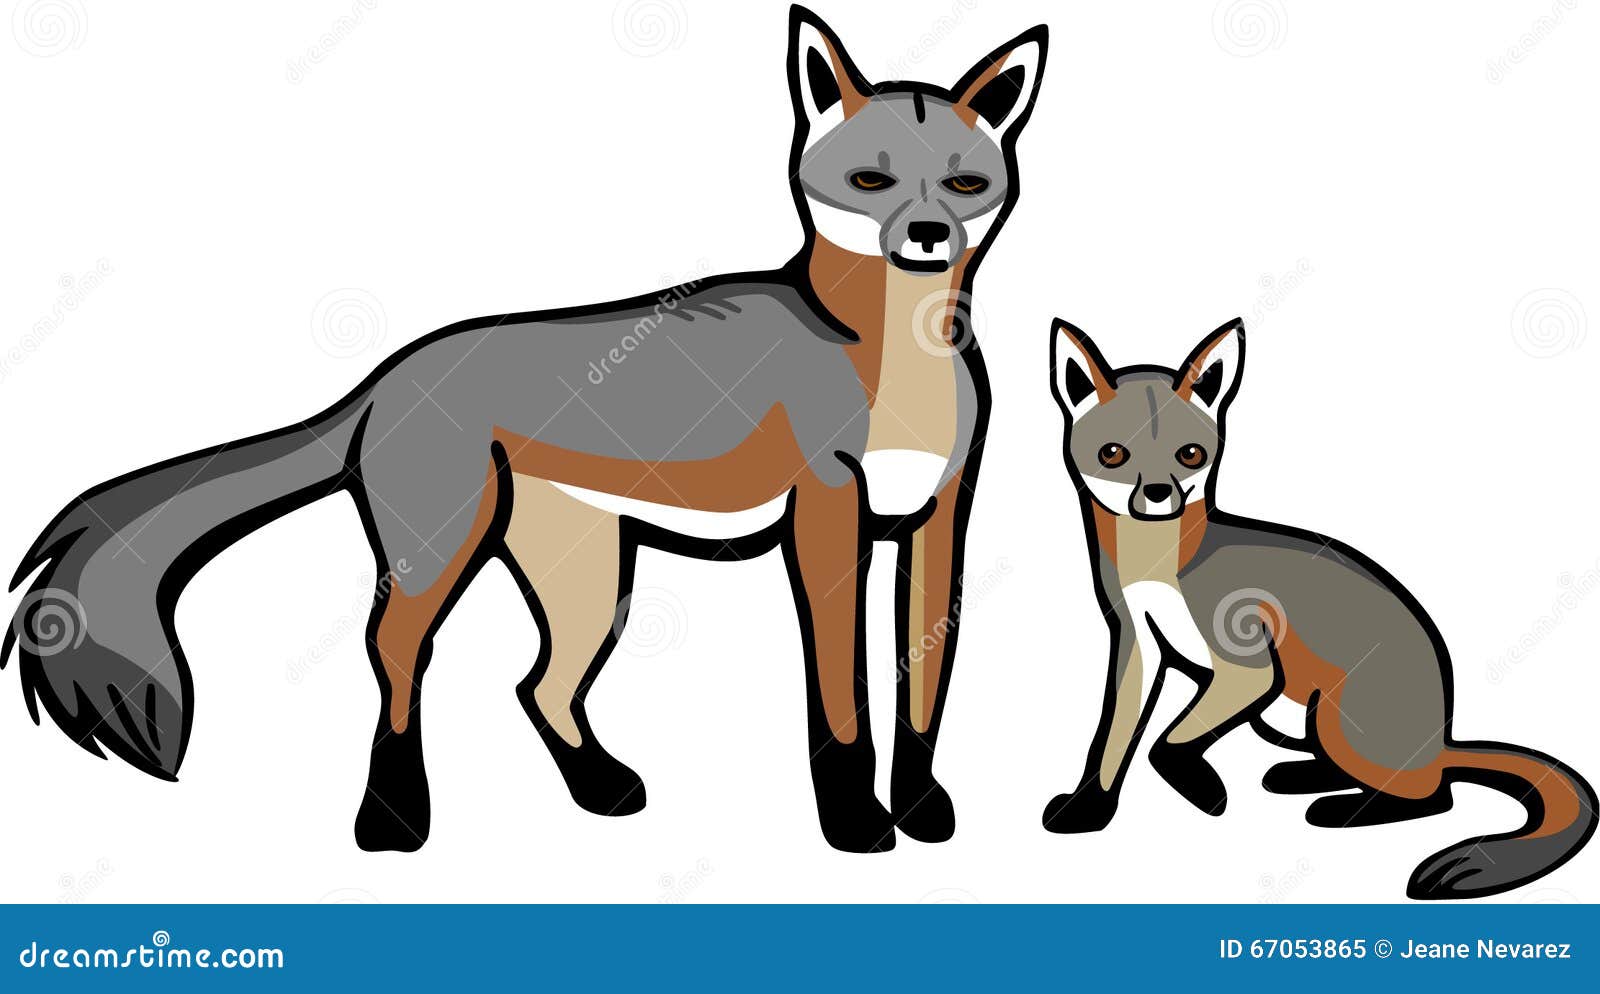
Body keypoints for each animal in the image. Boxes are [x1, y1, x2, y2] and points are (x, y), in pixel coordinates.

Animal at [2, 7, 1047, 854]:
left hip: (594, 580)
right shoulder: (828, 514)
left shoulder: (941, 516)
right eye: (871, 180)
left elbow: (924, 691)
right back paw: (393, 818)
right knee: (395, 660)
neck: (887, 363)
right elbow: (842, 703)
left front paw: (923, 809)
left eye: (964, 184)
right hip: (439, 553)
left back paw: (601, 787)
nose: (926, 237)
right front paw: (857, 824)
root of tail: (385, 377)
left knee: (538, 685)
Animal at [1042, 317, 1596, 899]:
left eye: (1190, 454)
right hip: (1304, 719)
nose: (1155, 494)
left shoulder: (1247, 668)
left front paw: (1202, 789)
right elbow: (1111, 744)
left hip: (1332, 718)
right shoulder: (1137, 648)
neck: (1159, 568)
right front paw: (1089, 811)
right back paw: (1303, 778)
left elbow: (1163, 744)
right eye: (1112, 454)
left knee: (1433, 795)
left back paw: (1343, 810)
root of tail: (1442, 739)